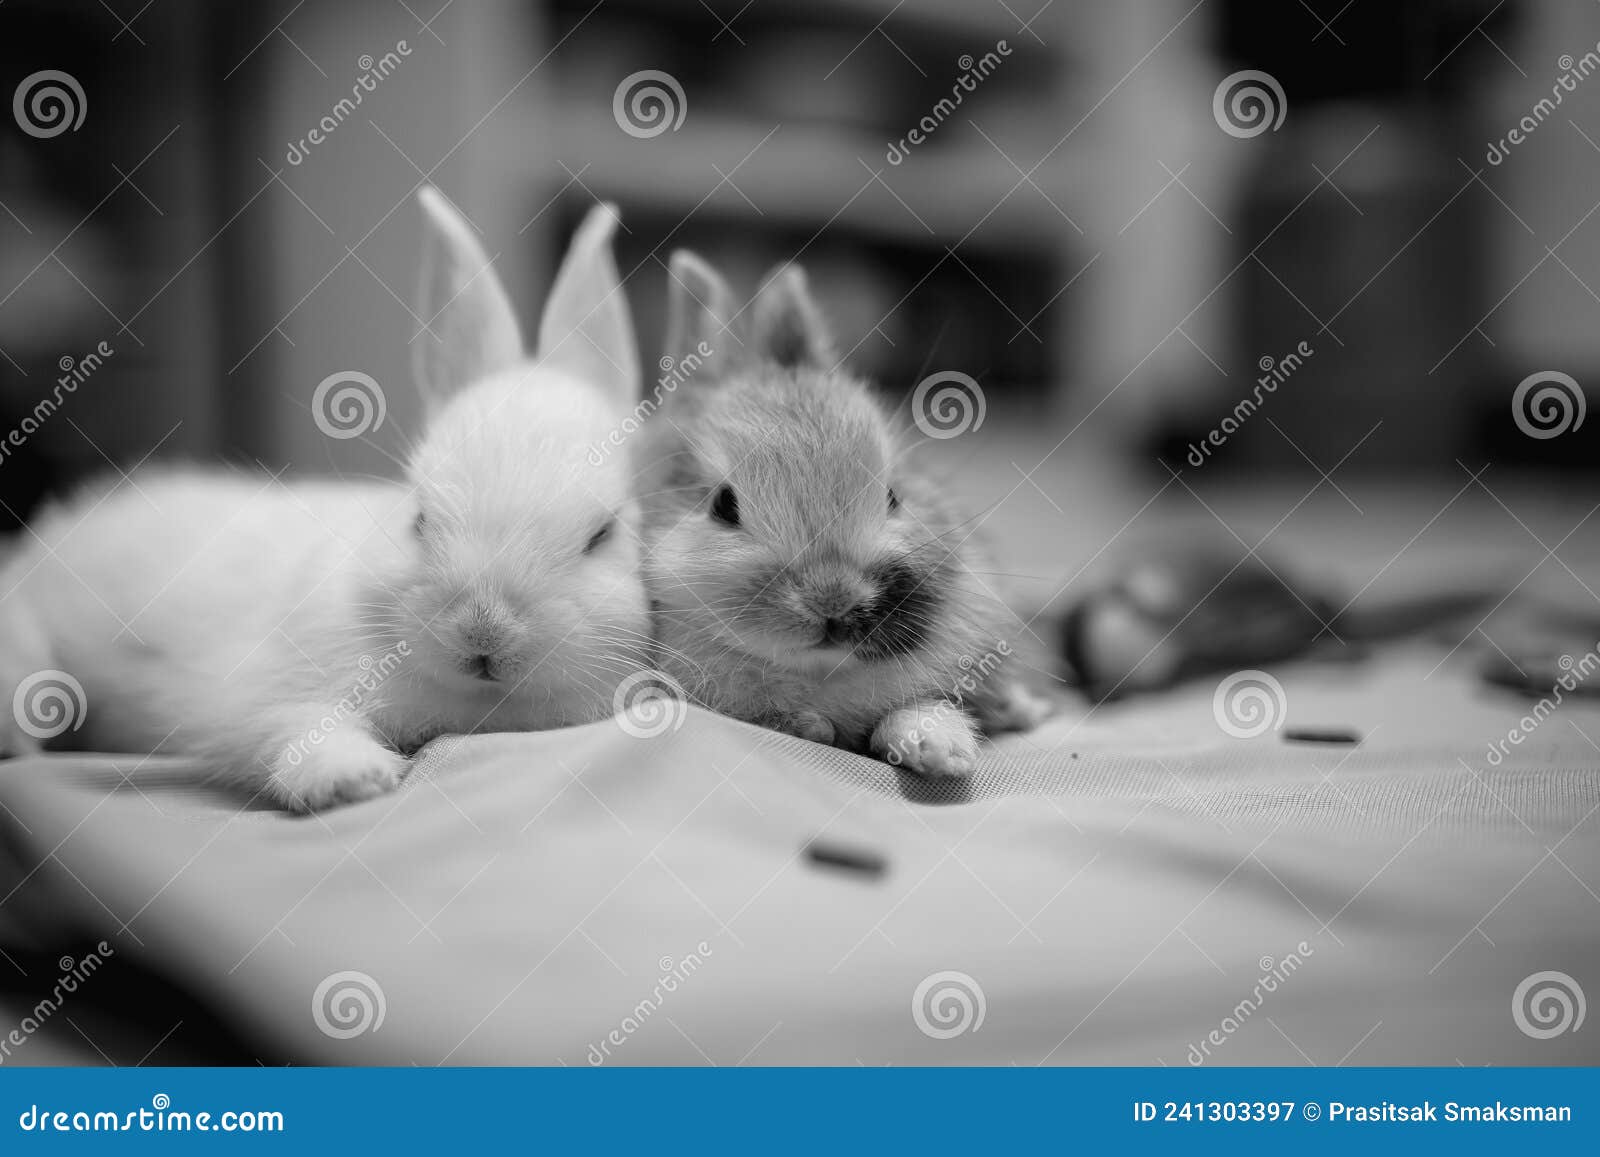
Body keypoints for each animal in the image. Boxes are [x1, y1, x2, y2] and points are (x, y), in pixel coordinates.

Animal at [0, 187, 651, 811]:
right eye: (419, 519)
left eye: (603, 535)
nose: (482, 633)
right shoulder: (260, 693)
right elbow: (291, 729)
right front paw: (354, 779)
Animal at [635, 252, 1050, 777]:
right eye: (723, 505)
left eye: (893, 496)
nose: (833, 601)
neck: (819, 673)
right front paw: (813, 728)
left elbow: (914, 710)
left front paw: (942, 751)